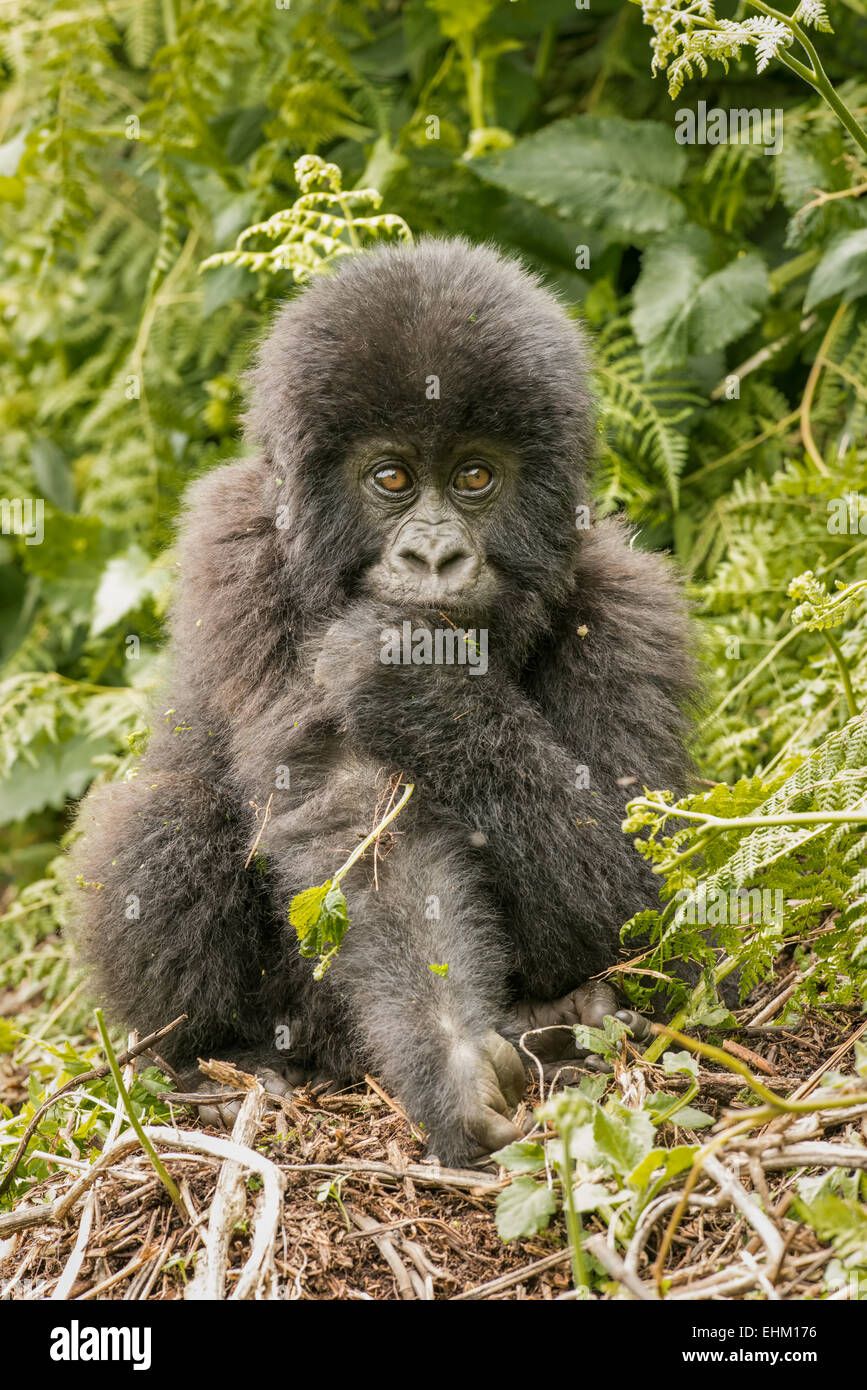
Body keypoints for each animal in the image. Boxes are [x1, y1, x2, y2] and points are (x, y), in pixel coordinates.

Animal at [70, 237, 696, 1165]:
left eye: (474, 476)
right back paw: (221, 1061)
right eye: (391, 476)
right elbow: (349, 802)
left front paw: (414, 680)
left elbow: (655, 893)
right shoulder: (241, 552)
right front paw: (452, 1054)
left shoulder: (627, 608)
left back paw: (554, 1020)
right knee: (170, 812)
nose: (433, 557)